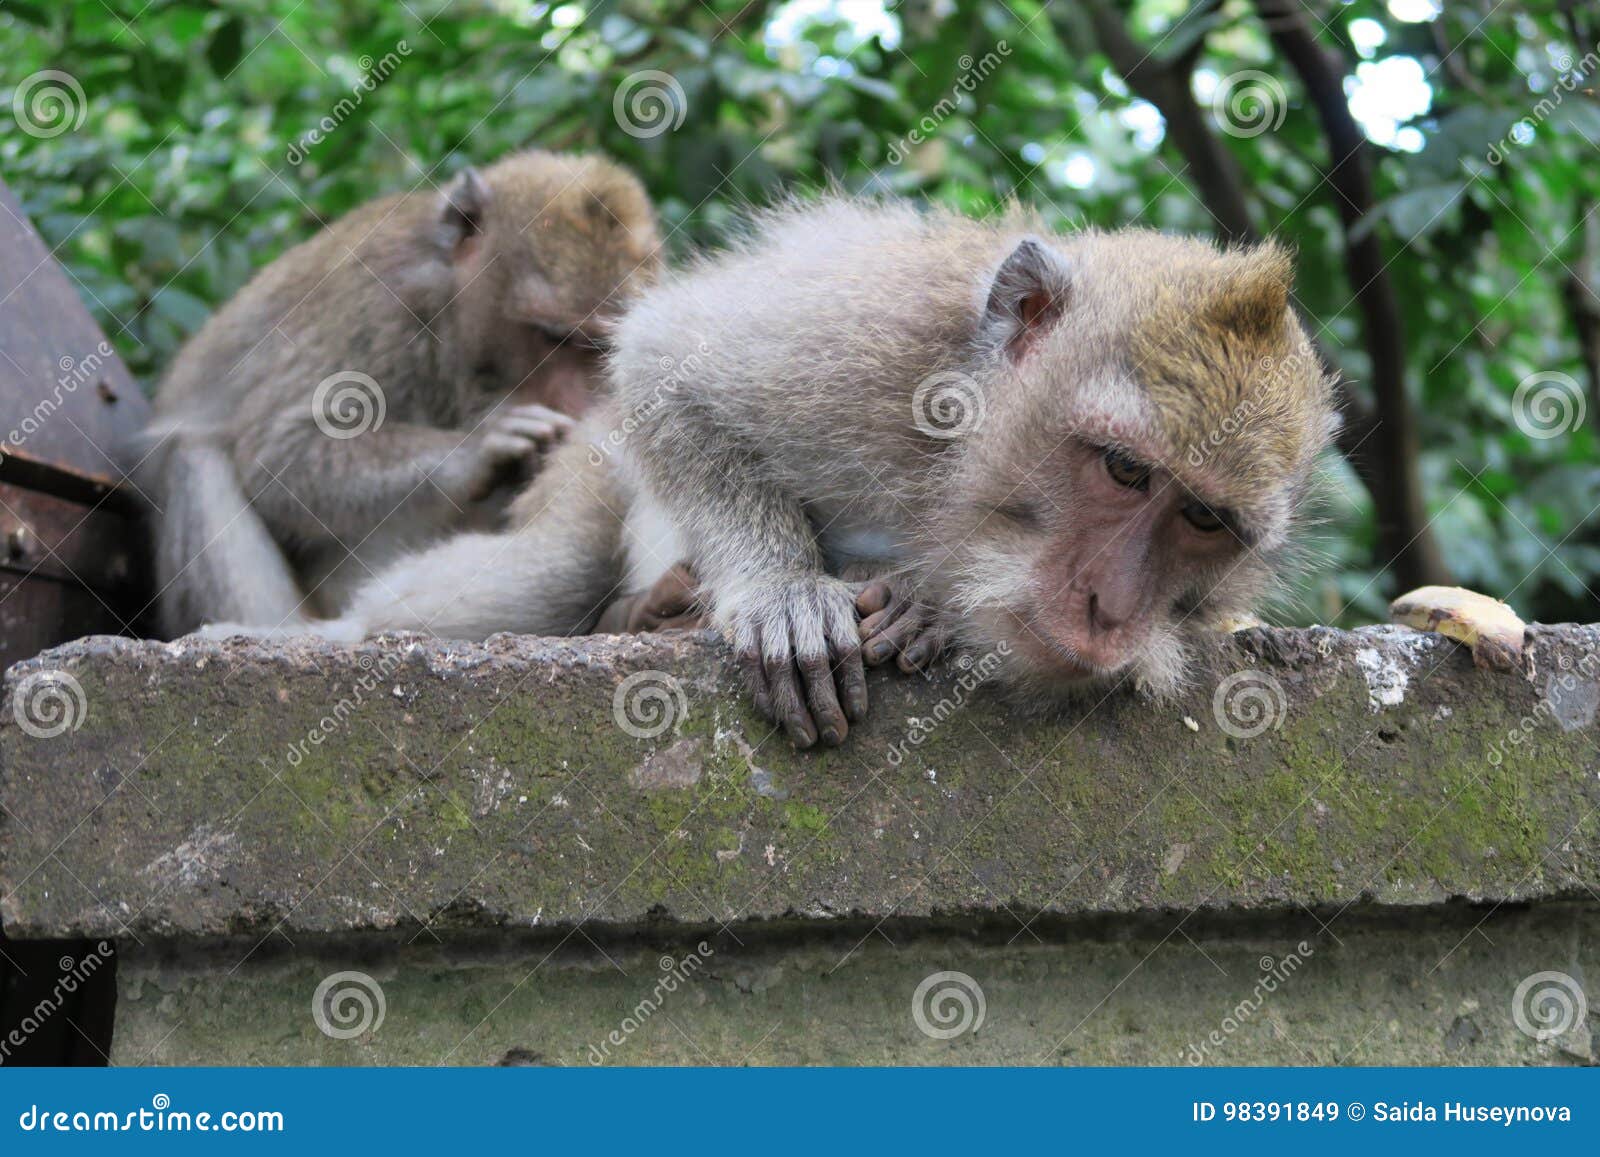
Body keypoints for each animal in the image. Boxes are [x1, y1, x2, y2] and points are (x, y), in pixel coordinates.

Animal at [134, 148, 661, 638]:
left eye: (599, 347)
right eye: (553, 336)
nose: (579, 401)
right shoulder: (380, 304)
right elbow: (278, 452)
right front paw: (481, 449)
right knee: (195, 455)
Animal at [228, 198, 1338, 749]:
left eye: (1203, 518)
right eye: (1121, 469)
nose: (1108, 604)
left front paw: (927, 606)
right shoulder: (874, 355)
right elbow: (670, 363)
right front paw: (784, 594)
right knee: (543, 569)